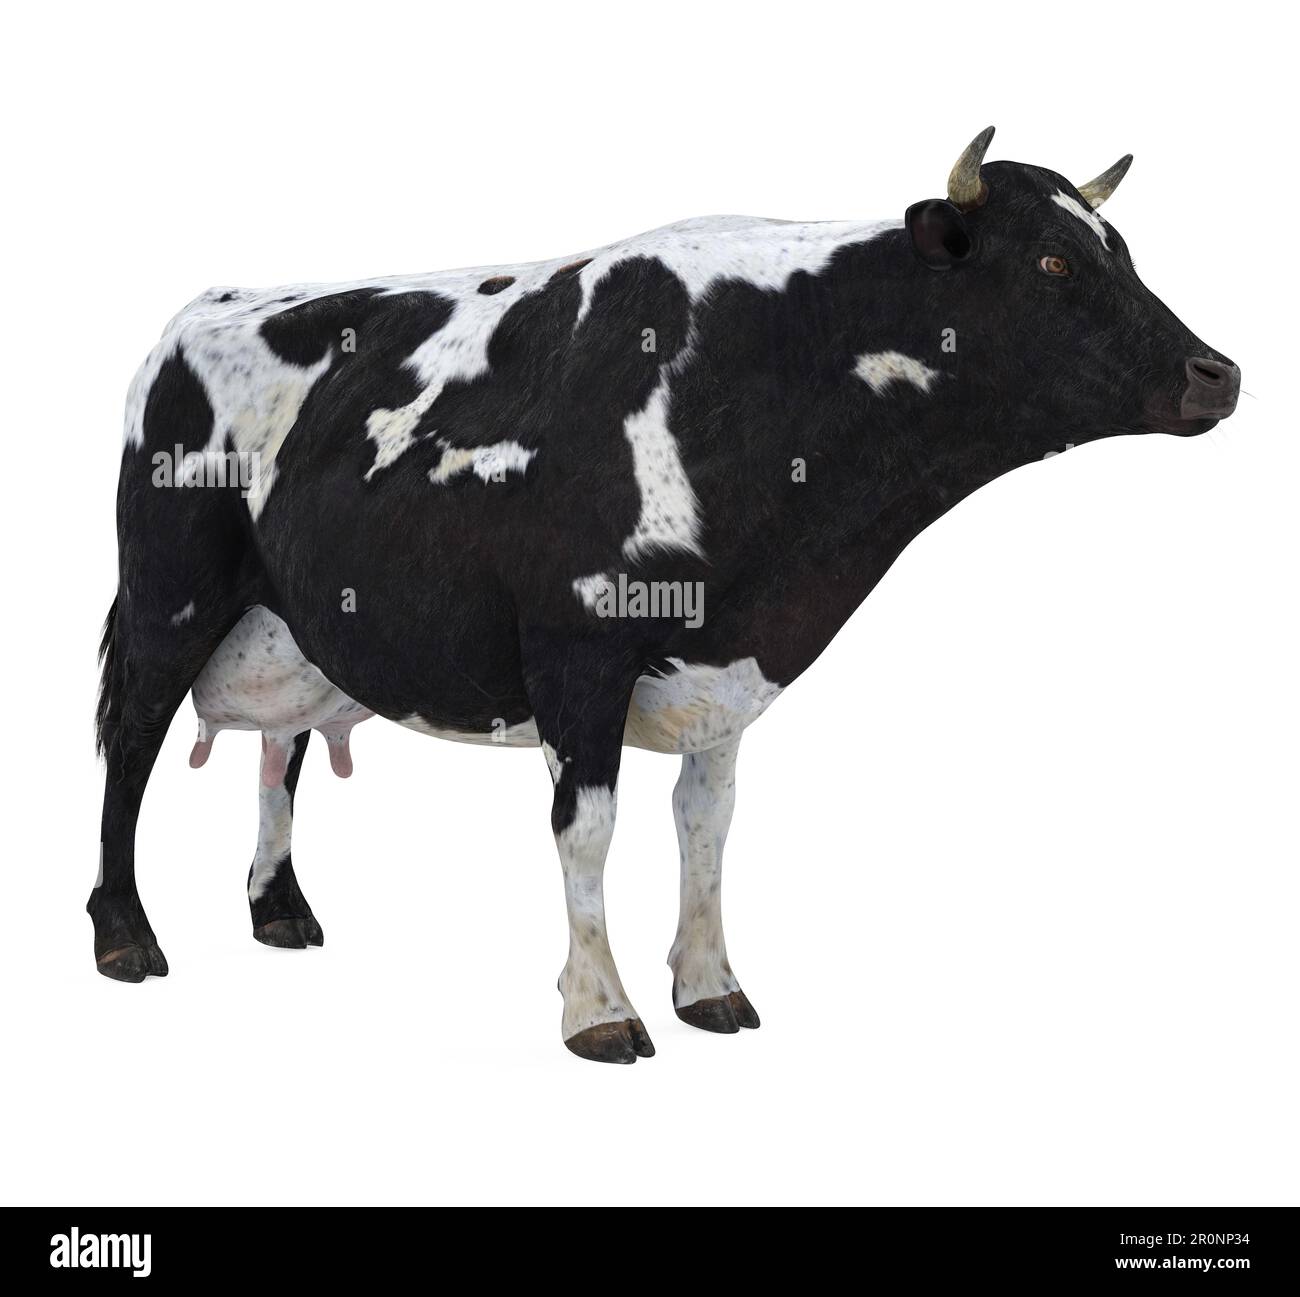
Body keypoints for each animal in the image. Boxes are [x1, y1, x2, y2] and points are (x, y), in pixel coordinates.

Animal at [93, 128, 1240, 1062]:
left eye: (1122, 251)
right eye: (1050, 260)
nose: (1216, 373)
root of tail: (208, 304)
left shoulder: (725, 661)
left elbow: (707, 826)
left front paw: (710, 987)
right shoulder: (577, 648)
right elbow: (588, 829)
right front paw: (597, 1009)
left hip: (294, 616)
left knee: (279, 748)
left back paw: (281, 910)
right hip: (167, 594)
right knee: (130, 740)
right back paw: (125, 936)